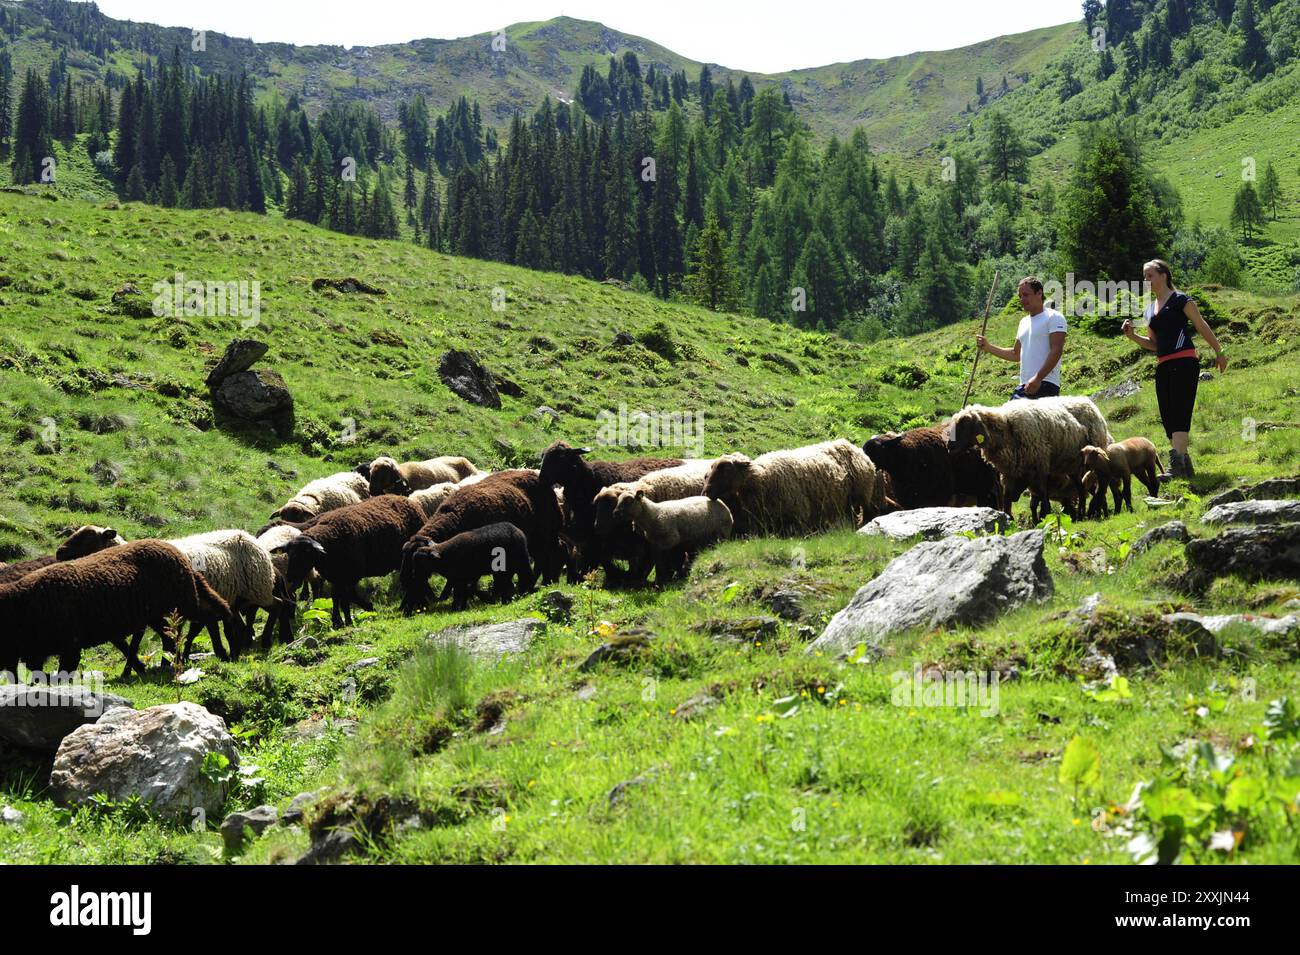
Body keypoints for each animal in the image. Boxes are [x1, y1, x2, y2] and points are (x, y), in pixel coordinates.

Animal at [0, 540, 231, 681]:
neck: (23, 605)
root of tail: (180, 556)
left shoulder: (70, 645)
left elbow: (63, 672)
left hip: (182, 600)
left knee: (209, 616)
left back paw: (223, 652)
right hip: (158, 613)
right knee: (169, 636)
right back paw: (167, 664)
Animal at [275, 494, 427, 628]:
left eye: (305, 554)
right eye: (289, 554)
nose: (290, 576)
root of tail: (406, 499)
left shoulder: (351, 576)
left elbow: (346, 598)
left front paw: (353, 616)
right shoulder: (336, 576)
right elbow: (336, 598)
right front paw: (338, 621)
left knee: (413, 580)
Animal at [407, 522, 536, 611]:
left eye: (421, 561)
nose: (413, 575)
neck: (445, 557)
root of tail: (517, 530)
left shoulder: (466, 576)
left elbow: (465, 591)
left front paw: (487, 600)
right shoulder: (462, 578)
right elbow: (466, 591)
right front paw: (461, 608)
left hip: (520, 559)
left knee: (526, 575)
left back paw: (526, 592)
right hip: (508, 567)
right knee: (508, 582)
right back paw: (509, 599)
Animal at [703, 439, 886, 536]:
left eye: (726, 468)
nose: (705, 492)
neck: (762, 478)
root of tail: (851, 445)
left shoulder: (799, 515)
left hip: (863, 492)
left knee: (869, 511)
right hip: (845, 501)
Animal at [946, 399, 1108, 516]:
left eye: (965, 425)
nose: (949, 446)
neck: (1006, 428)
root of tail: (1088, 402)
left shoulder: (1040, 465)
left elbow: (1042, 493)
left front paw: (1044, 515)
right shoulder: (1010, 472)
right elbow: (1007, 498)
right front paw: (1008, 518)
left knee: (1095, 487)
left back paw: (1094, 511)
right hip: (1072, 465)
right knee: (1080, 488)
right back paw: (1082, 513)